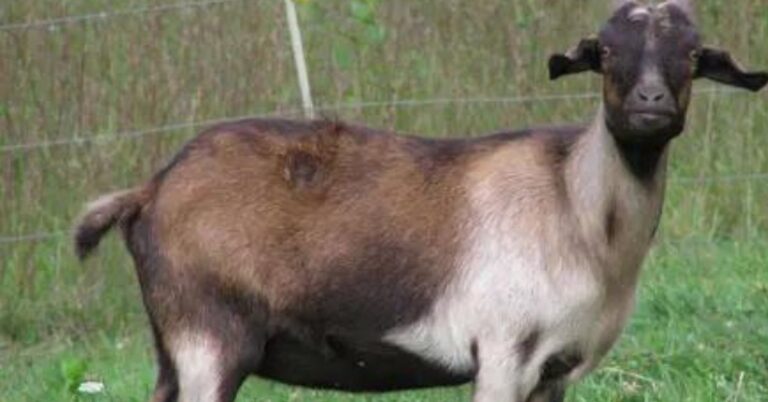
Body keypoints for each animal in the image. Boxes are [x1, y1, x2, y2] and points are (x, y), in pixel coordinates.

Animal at [74, 1, 767, 401]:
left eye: (692, 56)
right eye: (607, 54)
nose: (650, 104)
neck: (577, 208)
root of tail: (148, 192)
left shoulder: (552, 371)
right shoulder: (504, 353)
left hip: (176, 349)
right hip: (209, 338)